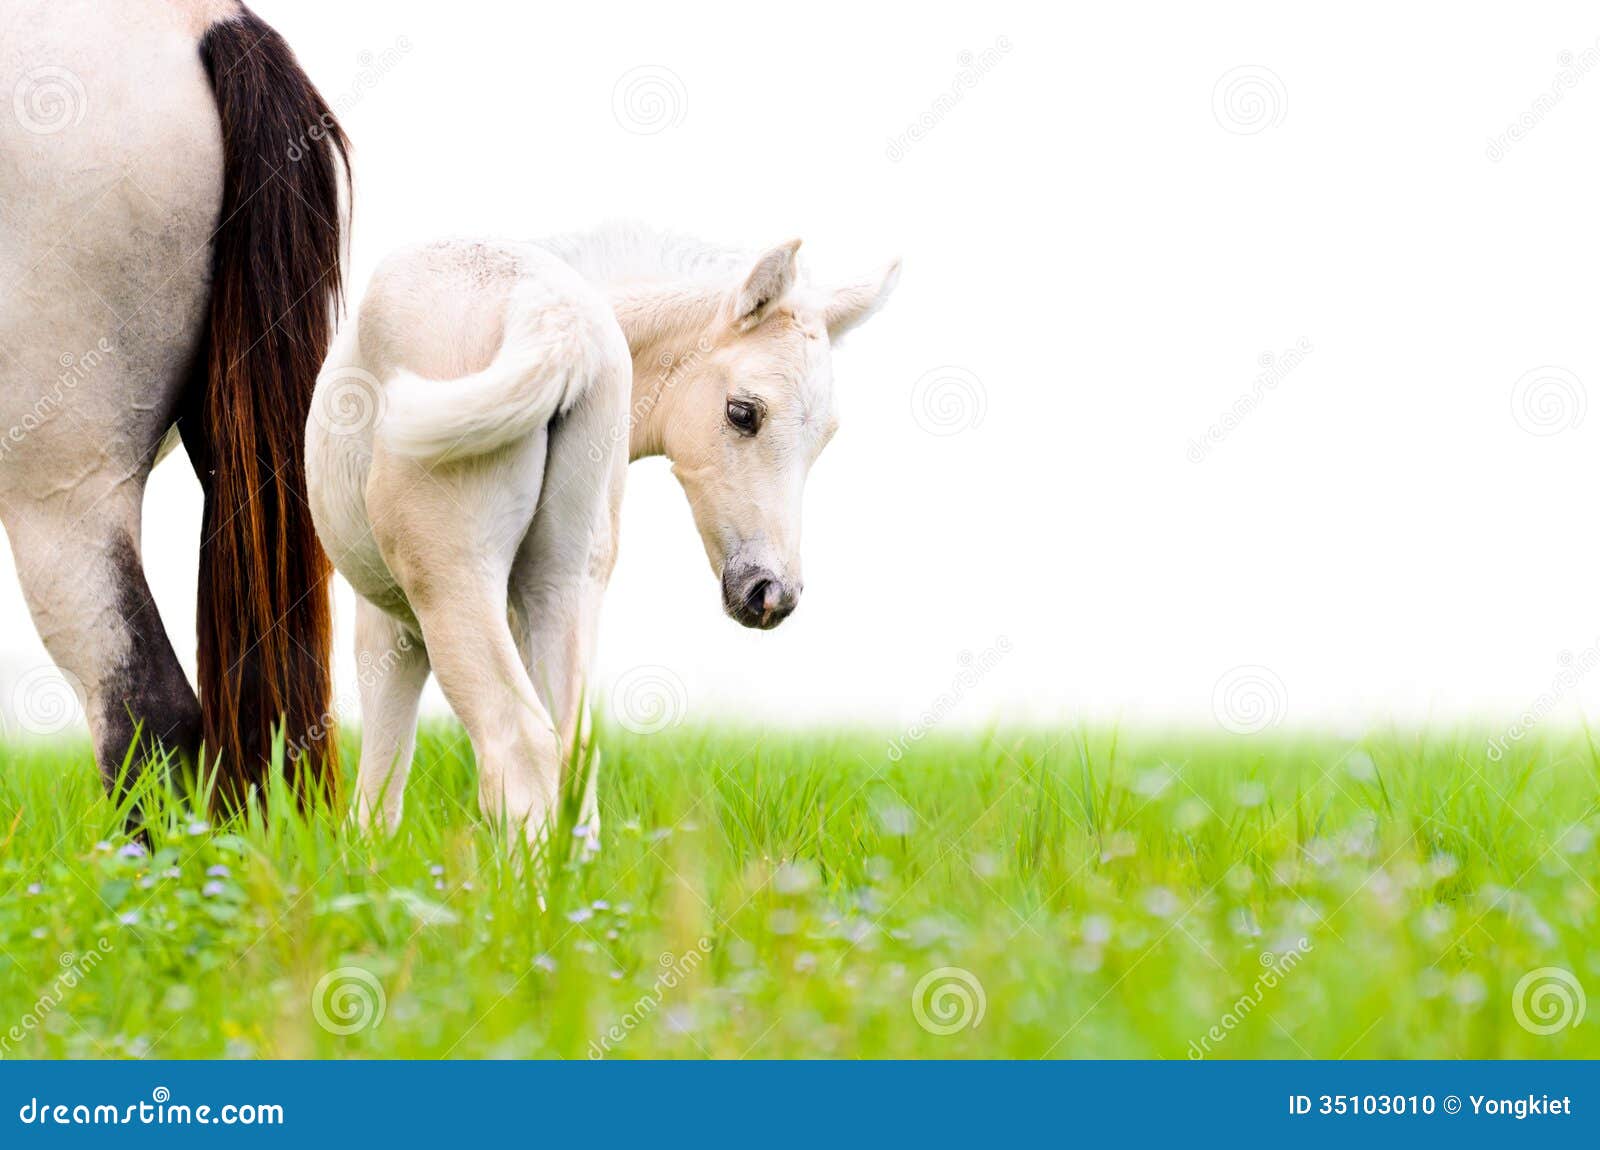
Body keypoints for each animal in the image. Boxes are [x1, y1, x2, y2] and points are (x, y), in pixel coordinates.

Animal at [306, 223, 900, 845]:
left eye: (824, 437)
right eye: (743, 413)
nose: (772, 594)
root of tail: (556, 314)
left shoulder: (392, 628)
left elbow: (379, 787)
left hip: (452, 582)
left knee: (521, 746)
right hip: (563, 581)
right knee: (572, 752)